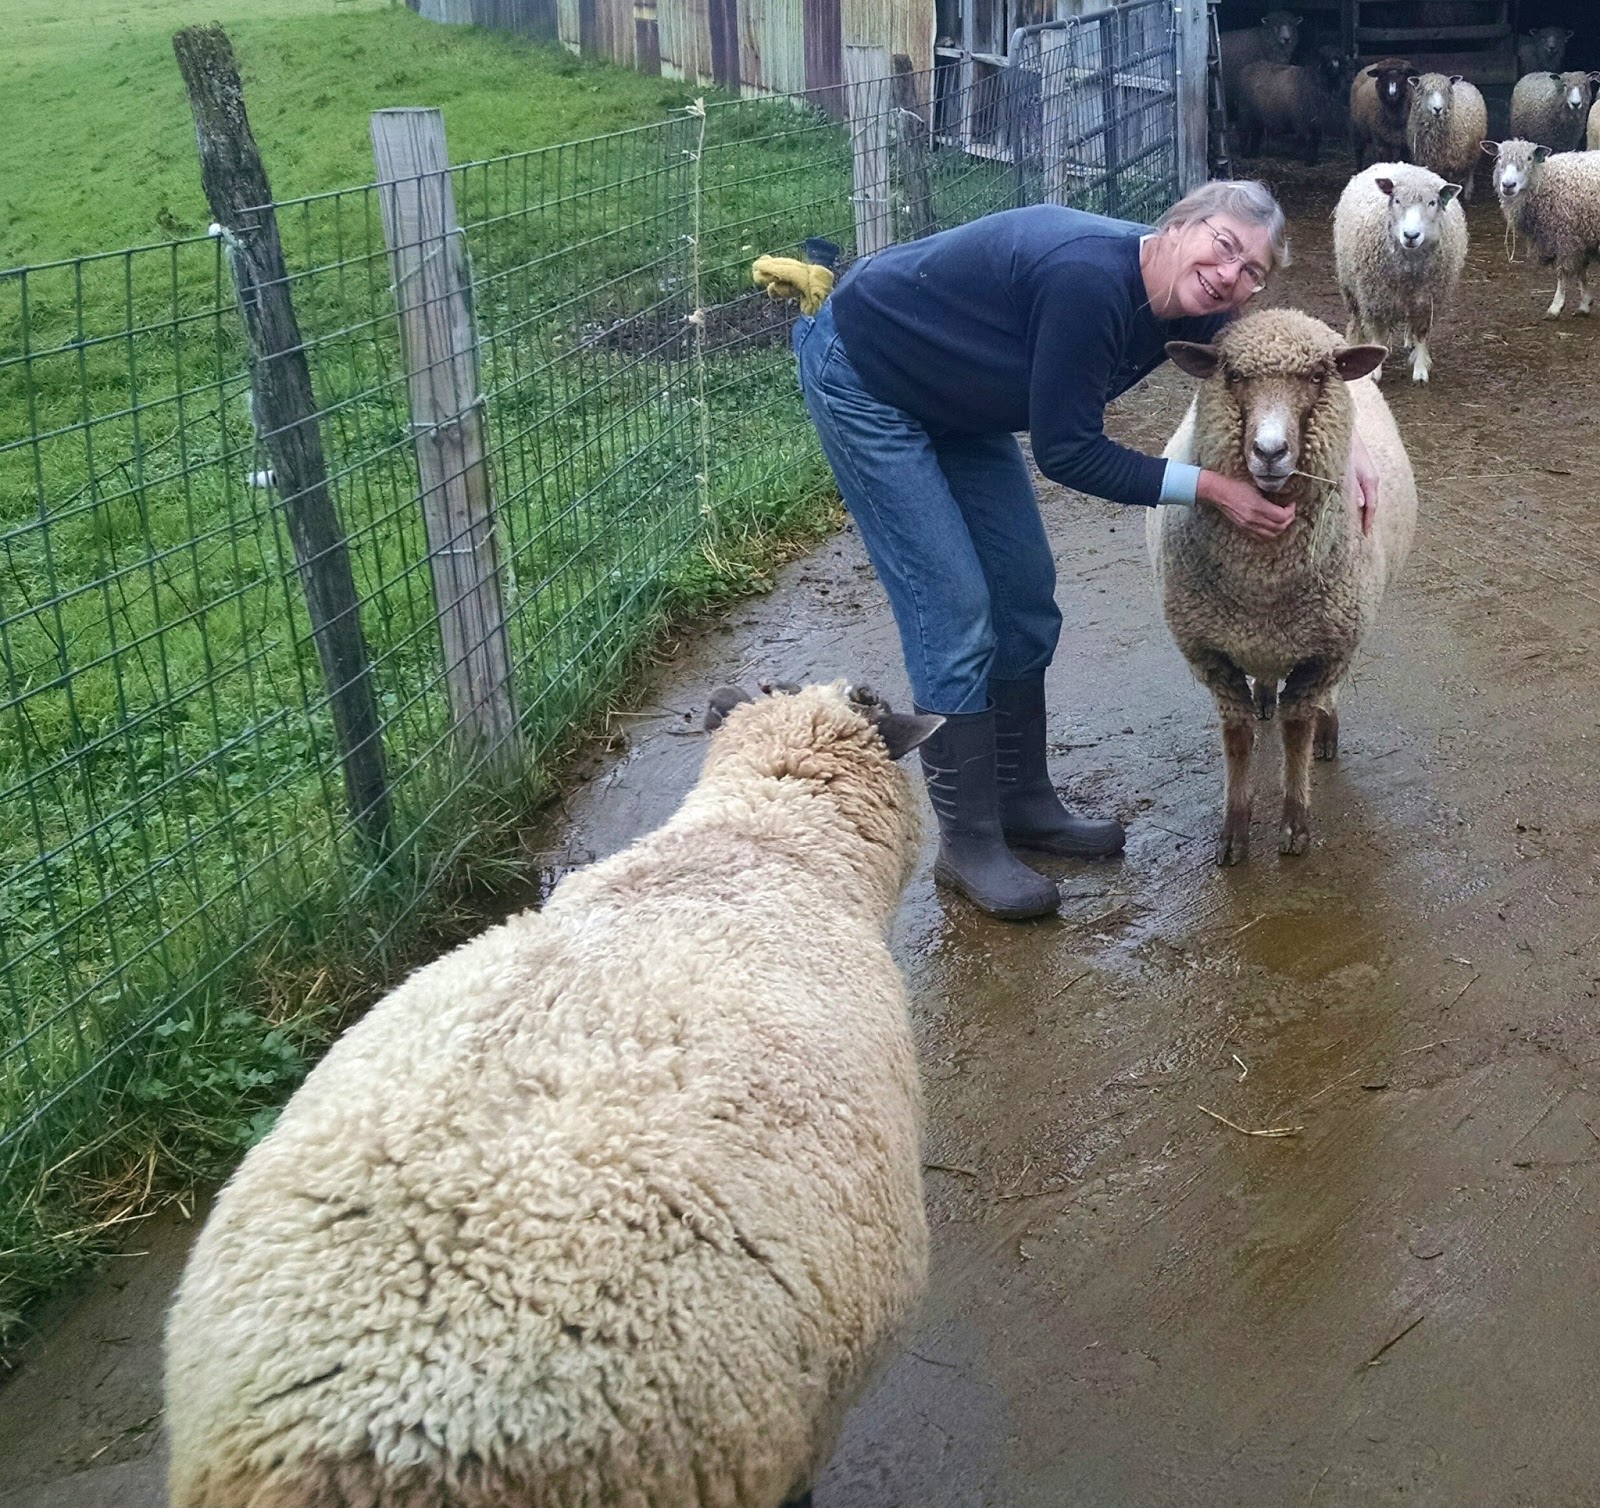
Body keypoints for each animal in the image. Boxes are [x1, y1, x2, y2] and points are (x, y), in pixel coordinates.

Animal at [1146, 309, 1418, 865]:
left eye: (1317, 376)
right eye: (1232, 375)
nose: (1269, 452)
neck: (1263, 586)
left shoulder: (1325, 650)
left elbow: (1296, 730)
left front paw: (1295, 825)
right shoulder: (1210, 652)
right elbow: (1237, 737)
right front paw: (1234, 831)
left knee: (1319, 703)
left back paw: (1326, 731)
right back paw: (1266, 695)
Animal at [1334, 162, 1467, 383]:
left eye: (1432, 202)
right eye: (1396, 200)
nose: (1410, 235)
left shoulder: (1427, 301)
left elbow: (1421, 334)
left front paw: (1420, 369)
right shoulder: (1375, 298)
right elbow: (1378, 333)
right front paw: (1375, 371)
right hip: (1350, 285)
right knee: (1357, 319)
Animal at [1406, 72, 1489, 202]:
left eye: (1446, 91)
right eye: (1425, 91)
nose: (1437, 109)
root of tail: (1464, 82)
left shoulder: (1451, 163)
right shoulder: (1425, 162)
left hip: (1474, 148)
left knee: (1470, 170)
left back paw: (1468, 192)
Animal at [1487, 138, 1600, 318]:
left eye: (1529, 158)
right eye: (1499, 158)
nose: (1508, 185)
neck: (1545, 180)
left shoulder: (1565, 236)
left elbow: (1563, 272)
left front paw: (1556, 306)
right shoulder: (1581, 236)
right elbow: (1581, 271)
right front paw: (1585, 303)